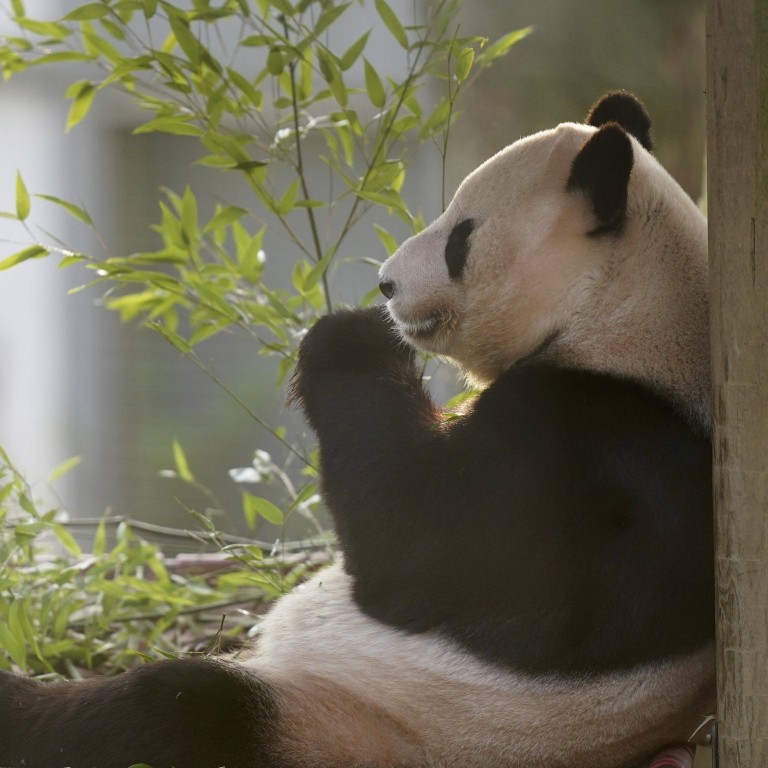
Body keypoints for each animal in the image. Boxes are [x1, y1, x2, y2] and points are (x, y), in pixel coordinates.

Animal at [0, 92, 714, 768]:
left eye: (460, 239)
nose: (387, 282)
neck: (623, 312)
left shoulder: (596, 440)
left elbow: (427, 547)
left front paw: (348, 335)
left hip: (354, 729)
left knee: (175, 713)